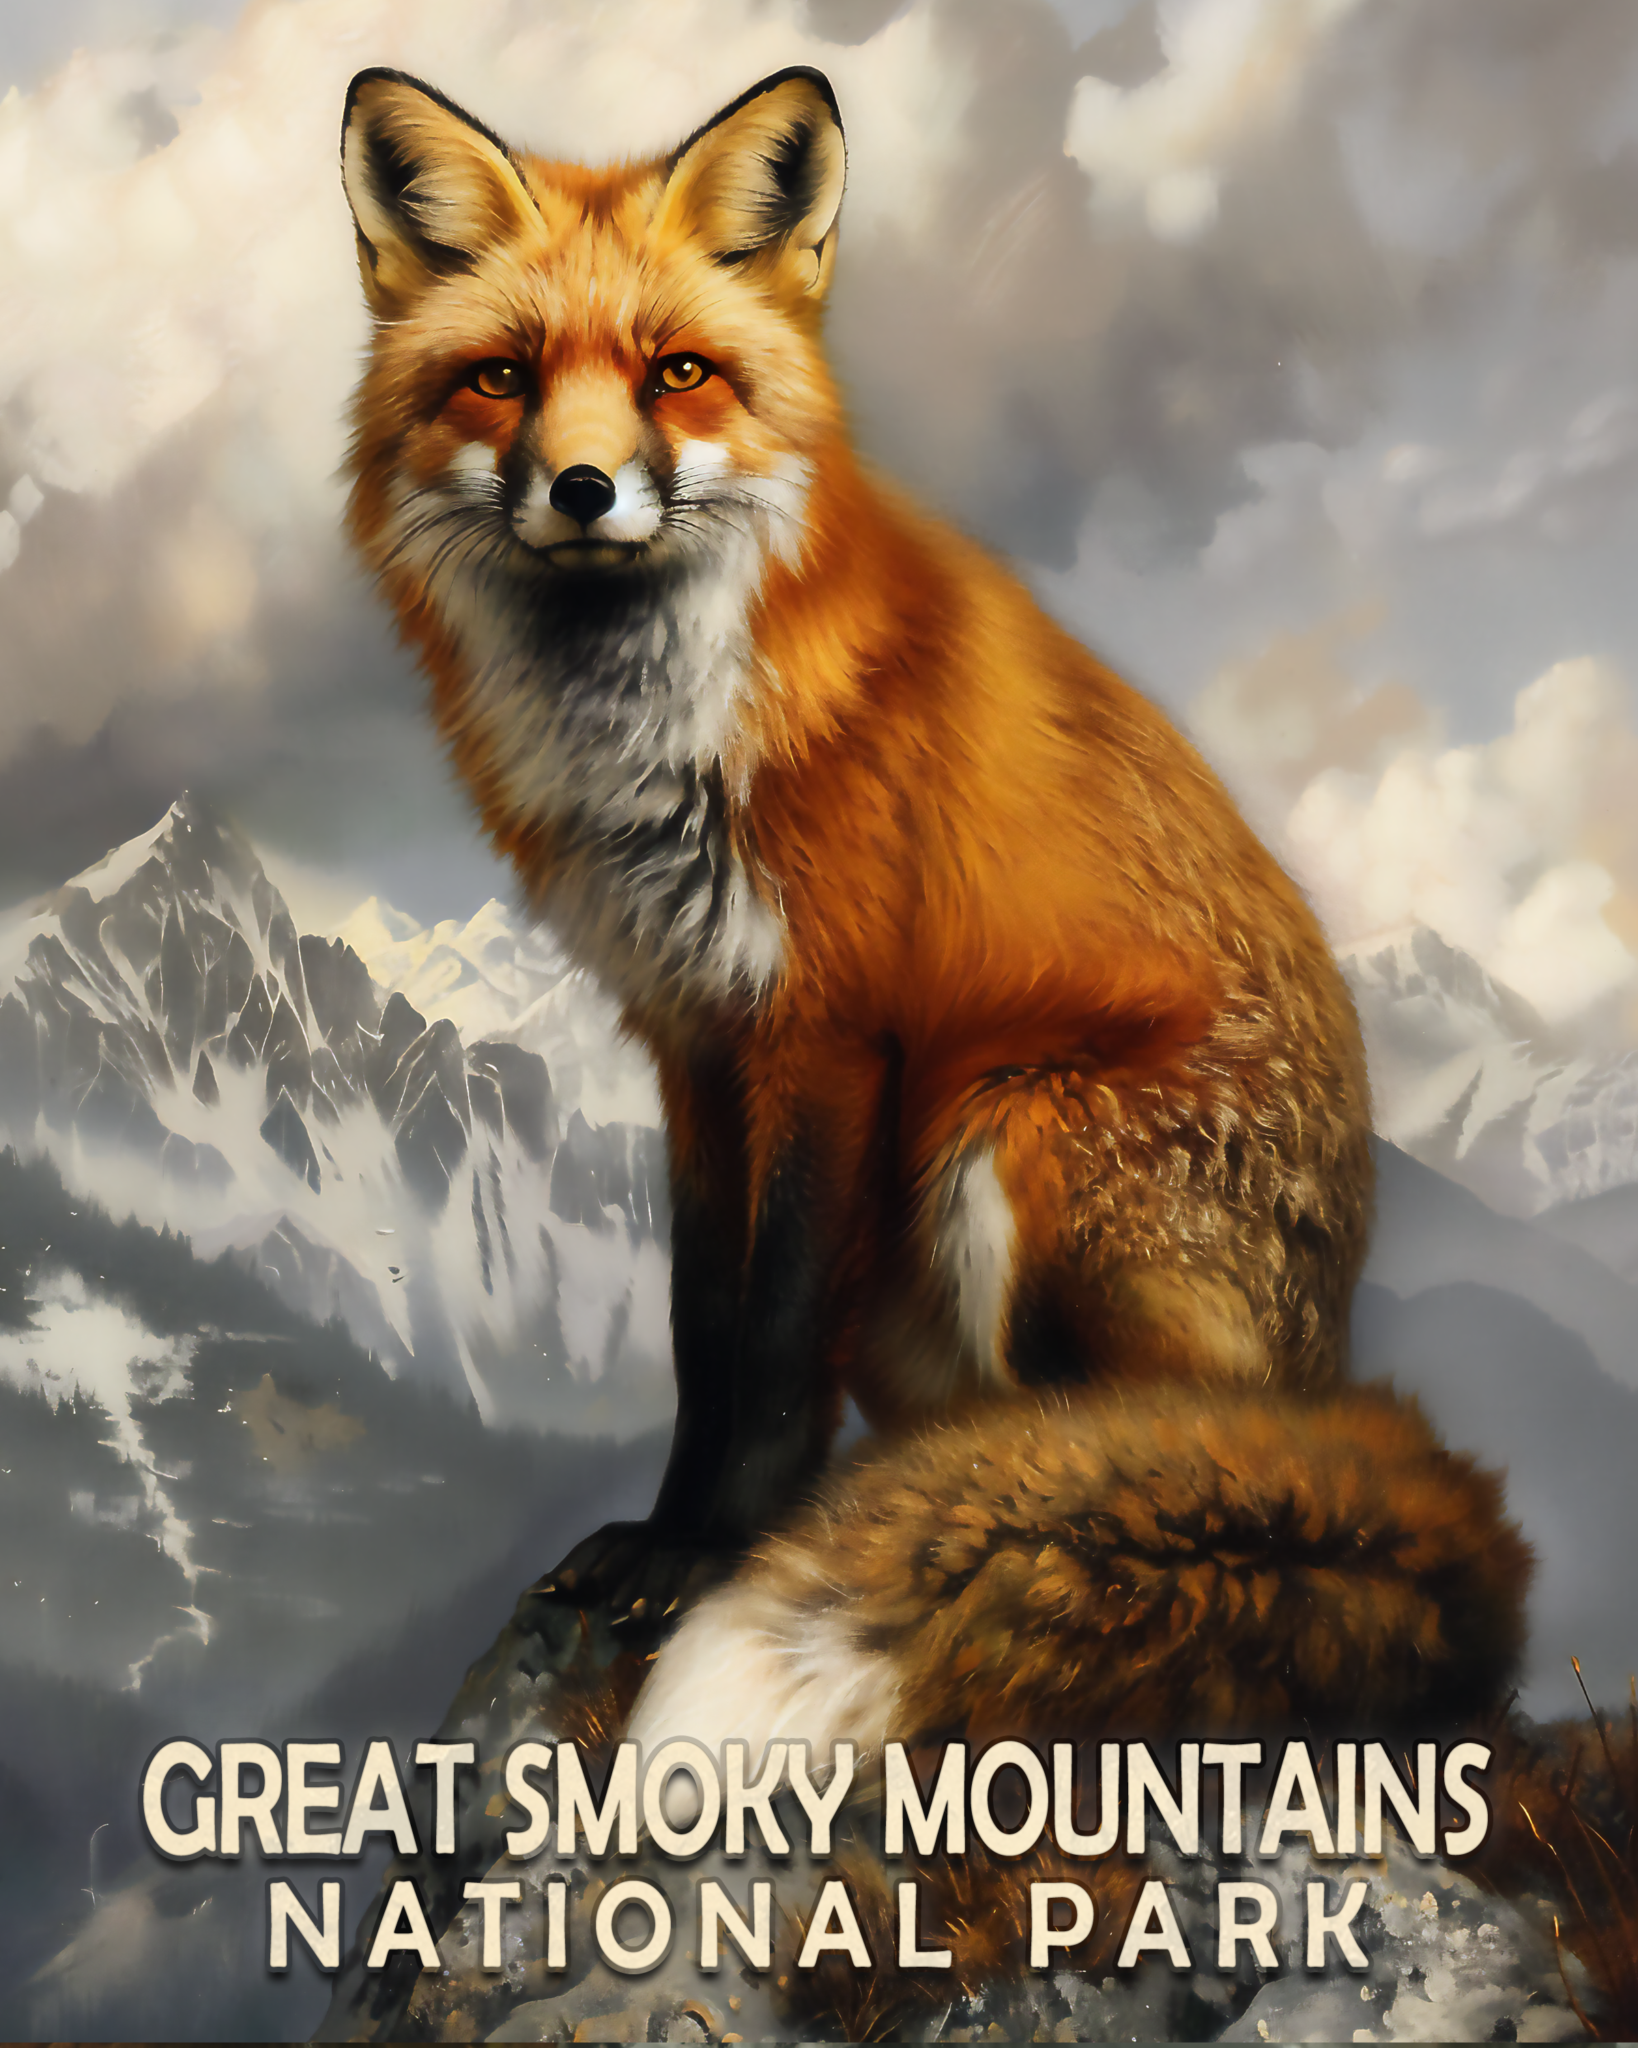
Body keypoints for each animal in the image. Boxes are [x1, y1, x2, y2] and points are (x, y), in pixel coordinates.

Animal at [339, 67, 1527, 1792]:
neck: (666, 738)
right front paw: (665, 1535)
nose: (581, 490)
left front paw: (718, 1559)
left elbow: (772, 1344)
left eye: (676, 372)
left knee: (1096, 1443)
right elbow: (702, 1326)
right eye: (501, 379)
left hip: (1011, 1128)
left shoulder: (831, 1027)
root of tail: (1332, 1377)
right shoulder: (692, 1037)